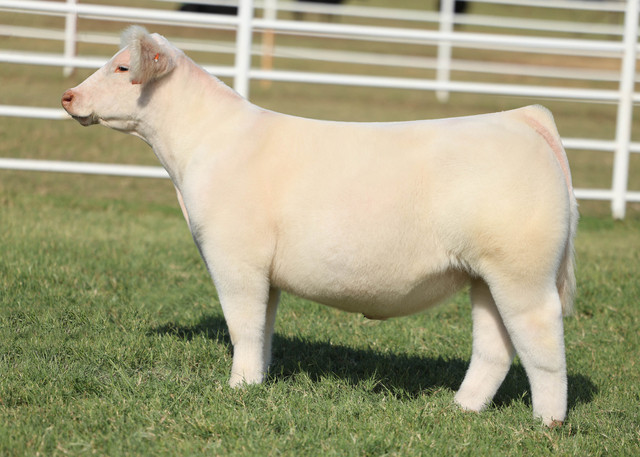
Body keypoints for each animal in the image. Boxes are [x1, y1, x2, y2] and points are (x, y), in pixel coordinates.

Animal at [61, 26, 578, 426]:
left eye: (122, 68)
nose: (67, 96)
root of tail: (522, 118)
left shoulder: (234, 257)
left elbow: (243, 325)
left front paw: (237, 388)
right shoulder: (264, 272)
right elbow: (264, 328)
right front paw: (257, 382)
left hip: (522, 270)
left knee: (542, 339)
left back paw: (547, 422)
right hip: (485, 276)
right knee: (495, 344)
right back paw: (461, 408)